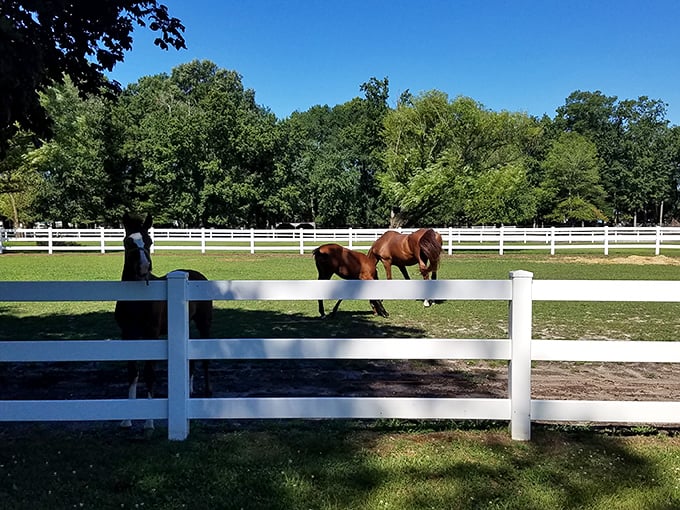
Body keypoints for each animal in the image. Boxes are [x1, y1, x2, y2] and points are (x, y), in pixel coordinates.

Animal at [114, 212, 213, 430]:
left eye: (149, 241)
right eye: (128, 242)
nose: (144, 268)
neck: (137, 302)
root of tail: (195, 274)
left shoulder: (151, 334)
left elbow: (150, 373)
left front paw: (149, 423)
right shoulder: (128, 335)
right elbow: (132, 373)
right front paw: (126, 419)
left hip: (204, 324)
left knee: (205, 358)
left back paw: (208, 392)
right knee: (191, 360)